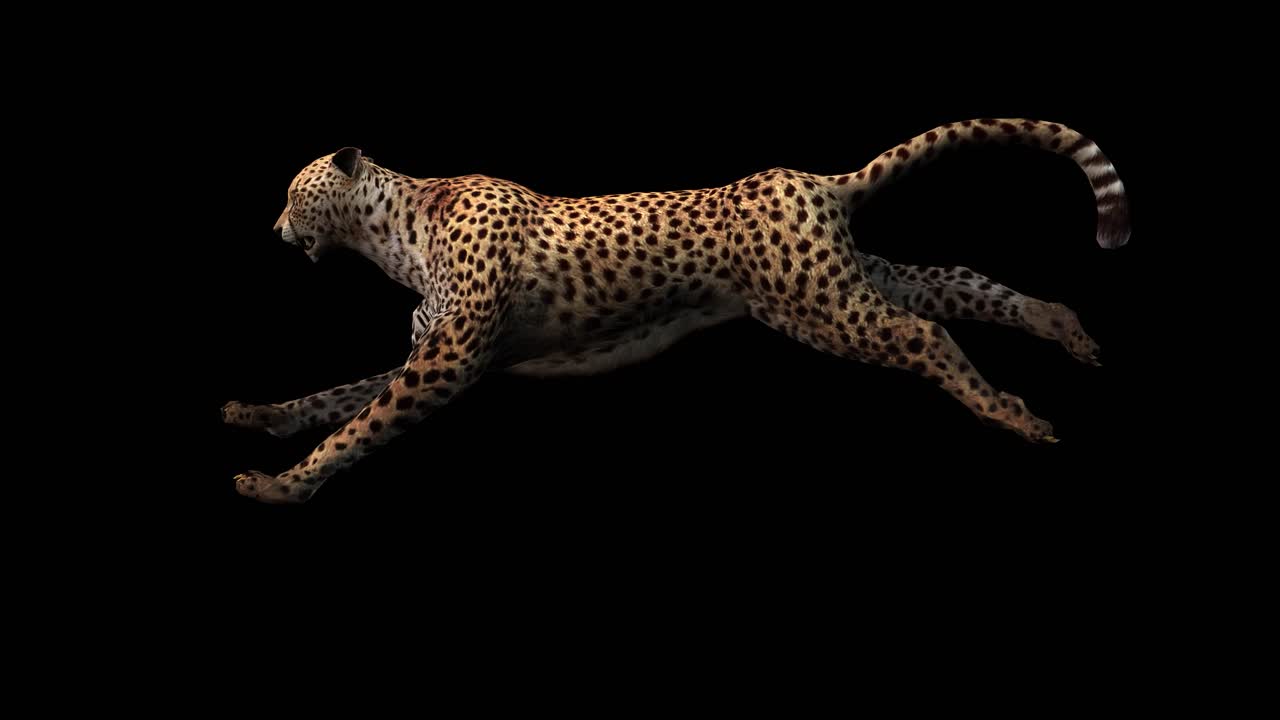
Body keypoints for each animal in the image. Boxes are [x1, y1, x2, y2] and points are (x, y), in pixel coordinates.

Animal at [223, 118, 1130, 504]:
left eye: (293, 193)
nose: (273, 230)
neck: (394, 231)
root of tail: (808, 178)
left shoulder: (447, 363)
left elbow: (358, 424)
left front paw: (284, 484)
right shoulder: (439, 352)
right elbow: (335, 397)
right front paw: (262, 416)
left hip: (822, 308)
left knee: (923, 329)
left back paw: (1012, 415)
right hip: (837, 283)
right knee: (955, 281)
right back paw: (1065, 327)